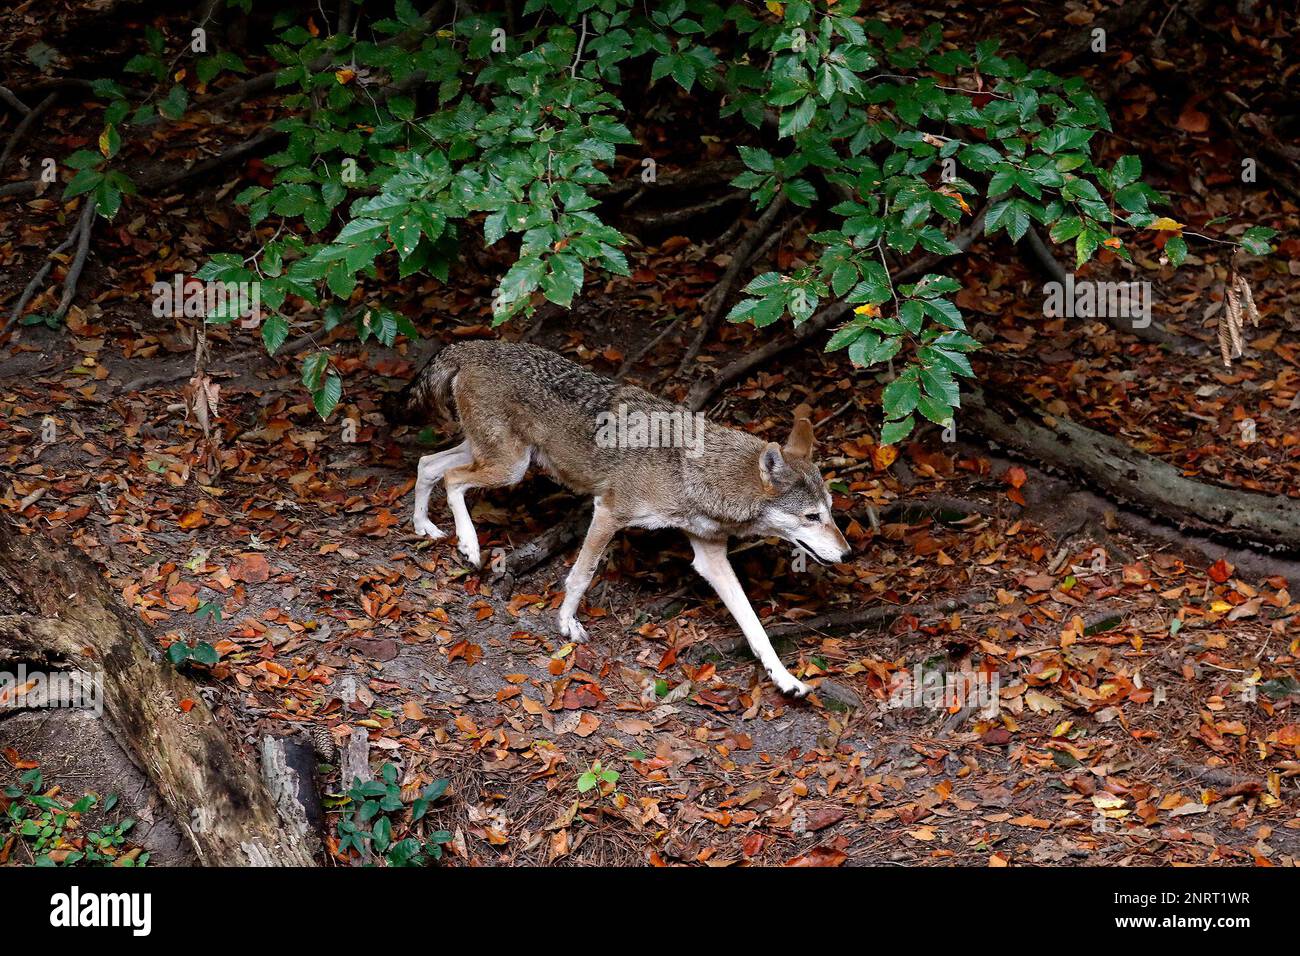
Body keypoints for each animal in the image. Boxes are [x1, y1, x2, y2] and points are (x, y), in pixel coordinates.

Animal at [384, 340, 851, 697]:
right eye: (812, 516)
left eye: (830, 511)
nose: (847, 554)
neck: (692, 473)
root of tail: (474, 345)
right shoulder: (607, 511)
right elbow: (581, 574)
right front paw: (566, 624)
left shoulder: (711, 558)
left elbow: (756, 628)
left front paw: (786, 680)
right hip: (509, 467)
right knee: (451, 479)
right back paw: (468, 545)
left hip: (496, 456)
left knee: (429, 465)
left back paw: (424, 527)